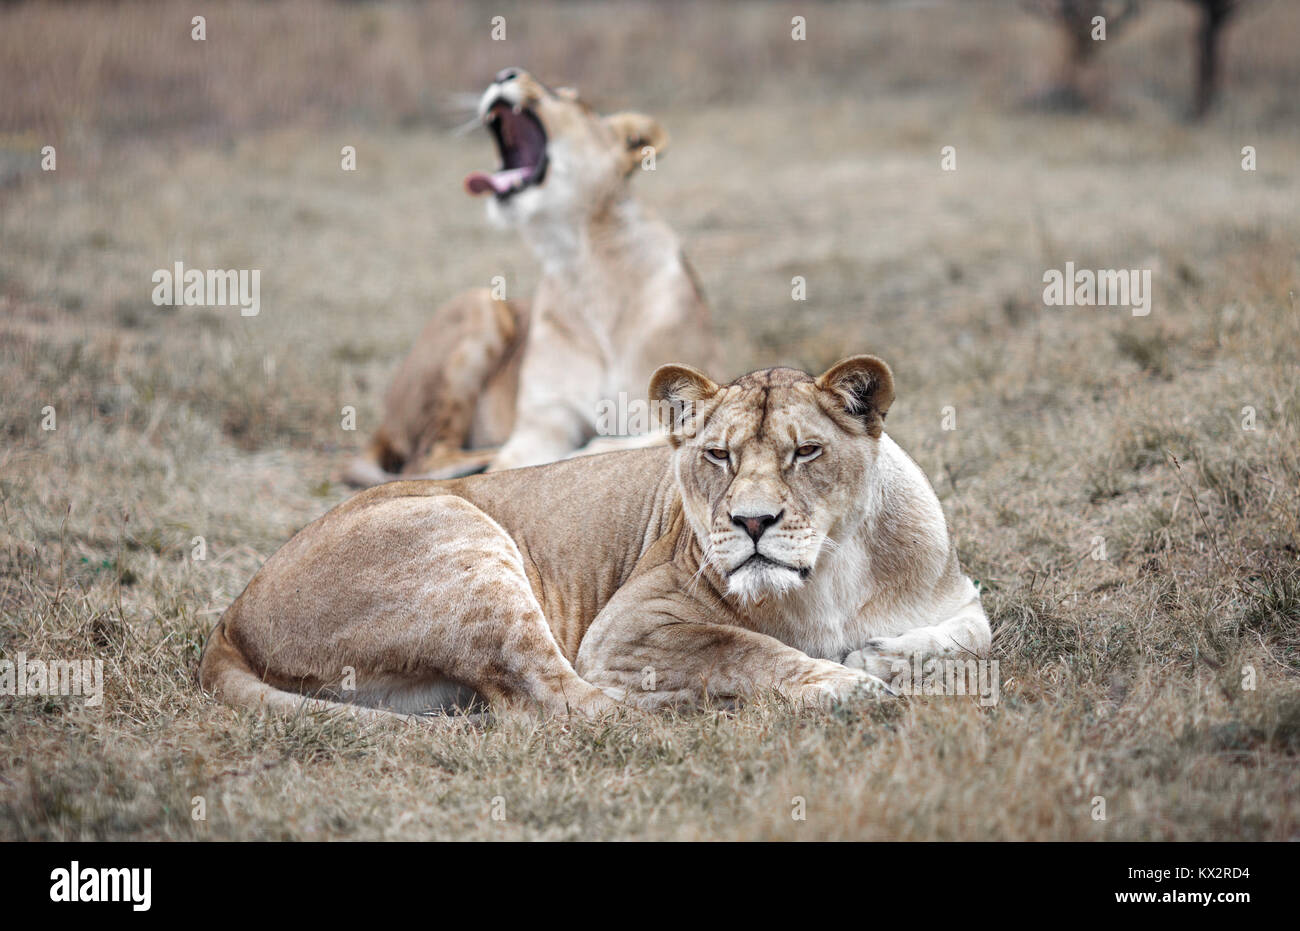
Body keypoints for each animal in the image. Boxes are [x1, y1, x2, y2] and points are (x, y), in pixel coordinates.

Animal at [201, 355, 991, 722]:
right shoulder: (628, 629)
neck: (830, 572)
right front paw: (848, 682)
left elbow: (972, 637)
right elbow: (745, 648)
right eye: (718, 455)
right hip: (467, 542)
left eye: (806, 452)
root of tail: (231, 616)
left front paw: (878, 655)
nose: (752, 522)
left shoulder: (958, 595)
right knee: (558, 703)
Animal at [344, 68, 713, 486]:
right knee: (425, 458)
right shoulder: (546, 420)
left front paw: (594, 450)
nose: (503, 73)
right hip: (480, 304)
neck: (577, 259)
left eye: (568, 97)